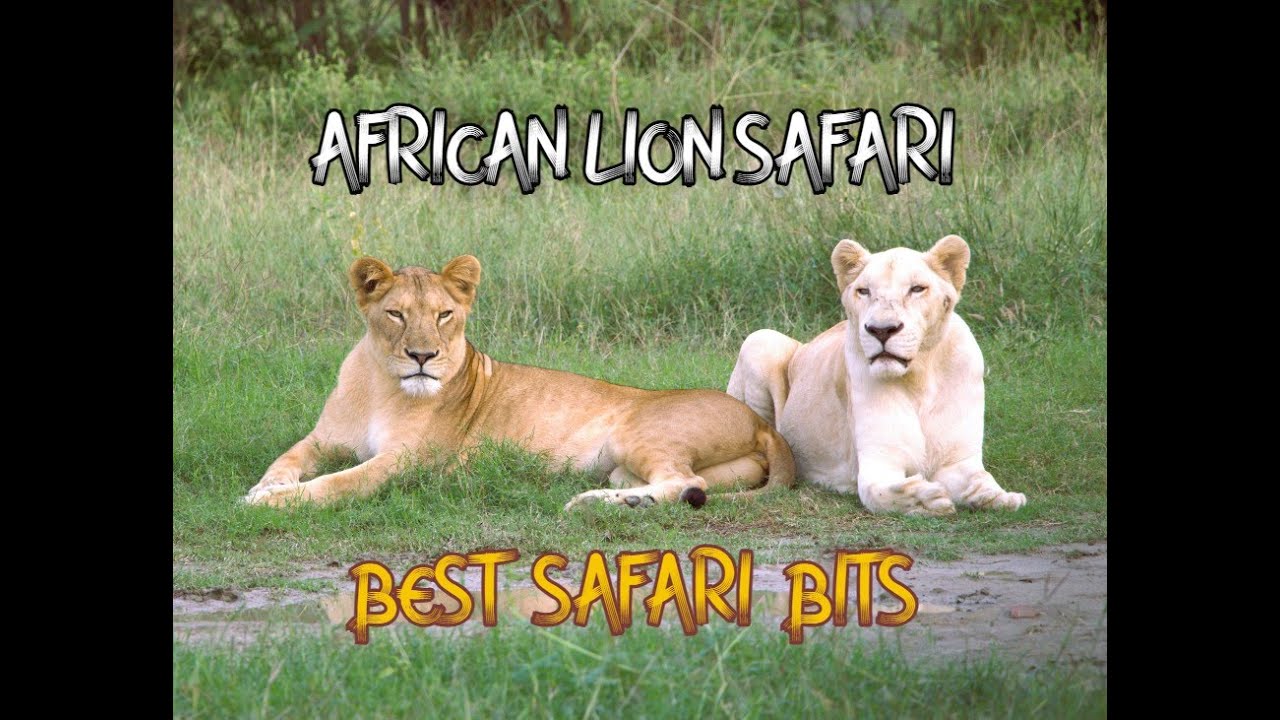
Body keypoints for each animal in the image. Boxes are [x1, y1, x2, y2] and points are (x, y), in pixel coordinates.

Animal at [243, 255, 794, 510]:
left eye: (444, 314)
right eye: (396, 314)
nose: (422, 357)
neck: (382, 383)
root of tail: (760, 422)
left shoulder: (407, 462)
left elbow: (339, 482)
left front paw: (270, 502)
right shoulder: (323, 439)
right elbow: (286, 460)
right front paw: (266, 486)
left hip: (637, 434)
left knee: (687, 481)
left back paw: (592, 504)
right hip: (636, 466)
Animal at [726, 235, 1026, 516]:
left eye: (917, 289)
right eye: (864, 291)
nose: (882, 330)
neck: (919, 378)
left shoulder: (958, 461)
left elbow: (980, 478)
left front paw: (999, 497)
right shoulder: (879, 463)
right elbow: (880, 493)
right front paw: (925, 499)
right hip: (760, 340)